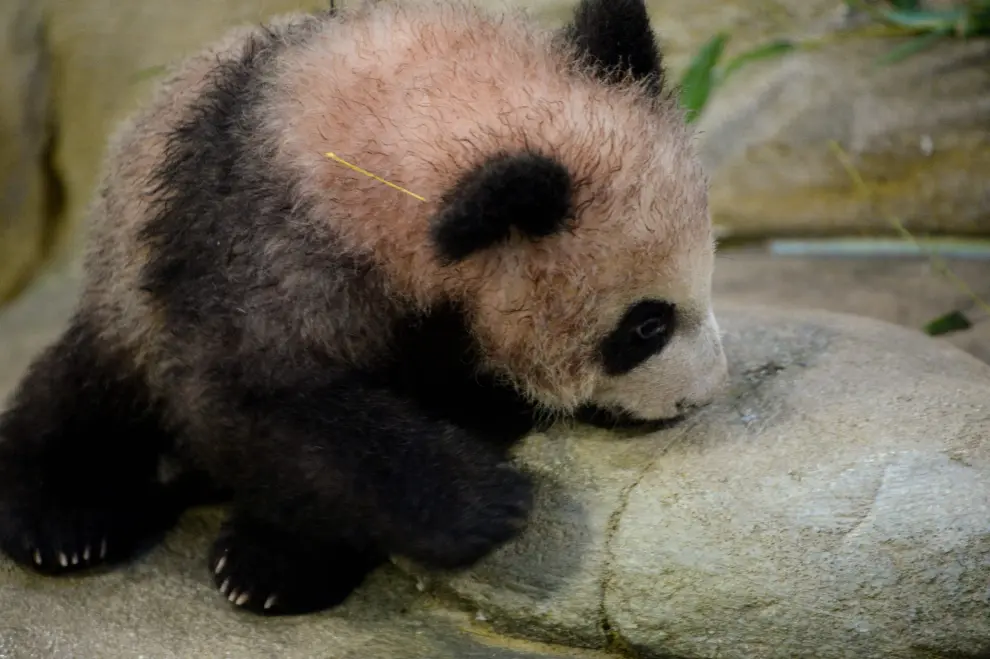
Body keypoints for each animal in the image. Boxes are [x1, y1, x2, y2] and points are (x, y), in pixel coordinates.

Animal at [0, 0, 728, 616]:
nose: (703, 392)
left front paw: (274, 559)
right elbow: (257, 400)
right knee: (83, 389)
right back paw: (61, 520)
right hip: (127, 281)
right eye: (646, 325)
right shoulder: (257, 239)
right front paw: (482, 504)